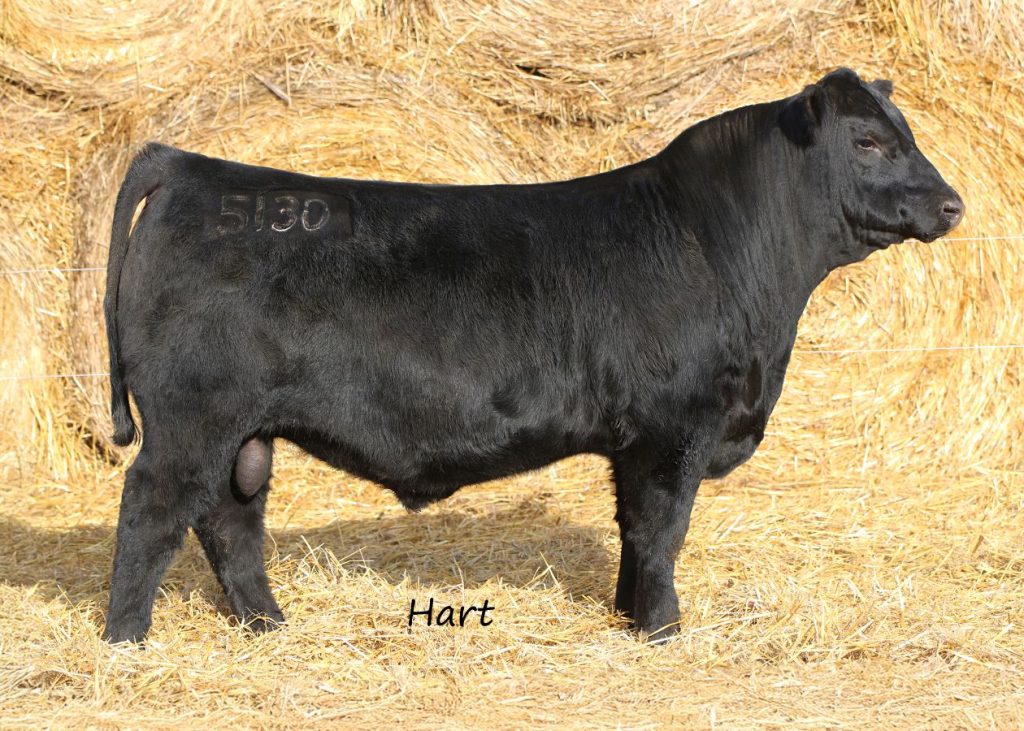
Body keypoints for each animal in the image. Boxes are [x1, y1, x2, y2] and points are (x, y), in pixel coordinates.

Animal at [102, 68, 963, 643]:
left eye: (908, 133)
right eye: (868, 140)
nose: (953, 204)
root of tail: (190, 165)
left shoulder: (639, 441)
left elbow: (634, 532)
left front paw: (627, 614)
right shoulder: (672, 429)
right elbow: (662, 529)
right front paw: (663, 628)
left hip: (241, 431)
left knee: (229, 521)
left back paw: (270, 624)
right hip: (191, 418)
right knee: (152, 509)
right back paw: (125, 637)